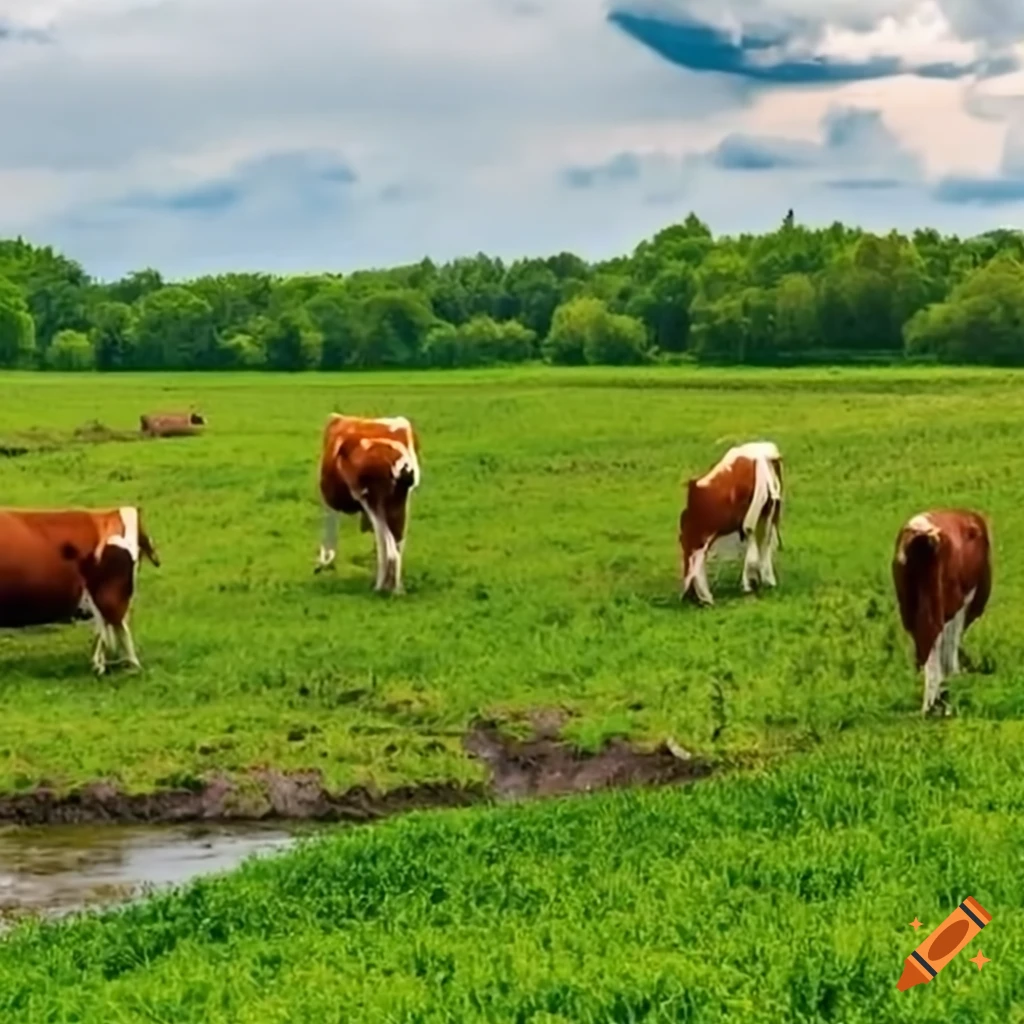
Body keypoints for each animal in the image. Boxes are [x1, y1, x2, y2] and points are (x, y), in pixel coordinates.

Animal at [314, 414, 421, 594]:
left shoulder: (330, 503)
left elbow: (330, 530)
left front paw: (324, 562)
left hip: (371, 500)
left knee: (387, 547)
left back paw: (381, 587)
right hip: (399, 502)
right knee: (397, 542)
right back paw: (396, 589)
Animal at [892, 509, 991, 716]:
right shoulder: (962, 602)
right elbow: (951, 640)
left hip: (910, 604)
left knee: (926, 638)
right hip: (946, 598)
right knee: (937, 634)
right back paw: (936, 702)